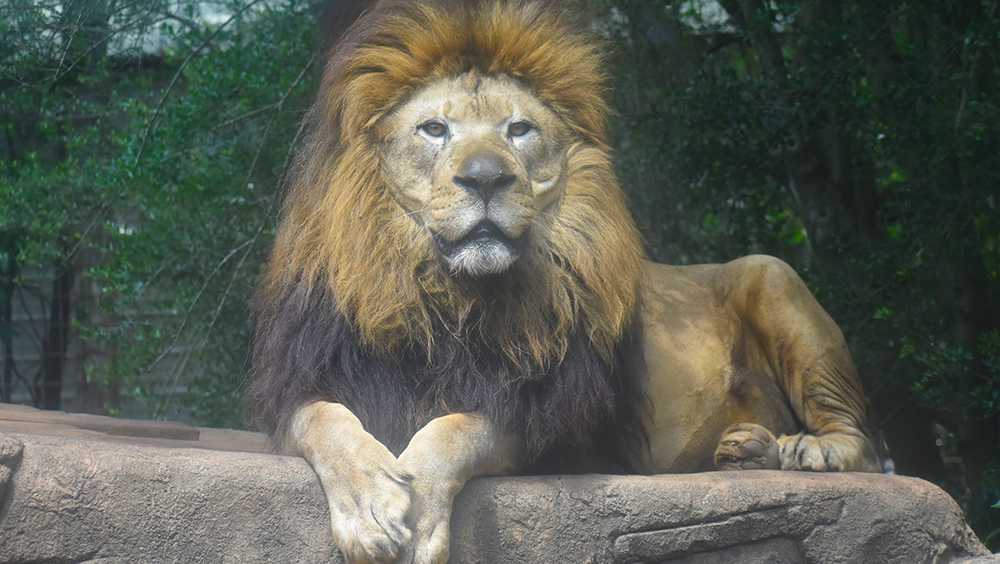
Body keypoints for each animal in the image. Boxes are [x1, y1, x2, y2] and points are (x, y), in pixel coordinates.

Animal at [247, 1, 888, 562]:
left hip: (774, 276)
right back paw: (749, 450)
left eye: (519, 129)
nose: (486, 177)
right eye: (434, 129)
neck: (450, 301)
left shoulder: (558, 426)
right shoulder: (310, 383)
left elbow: (456, 429)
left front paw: (418, 512)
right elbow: (325, 421)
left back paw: (809, 448)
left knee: (863, 440)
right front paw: (372, 507)